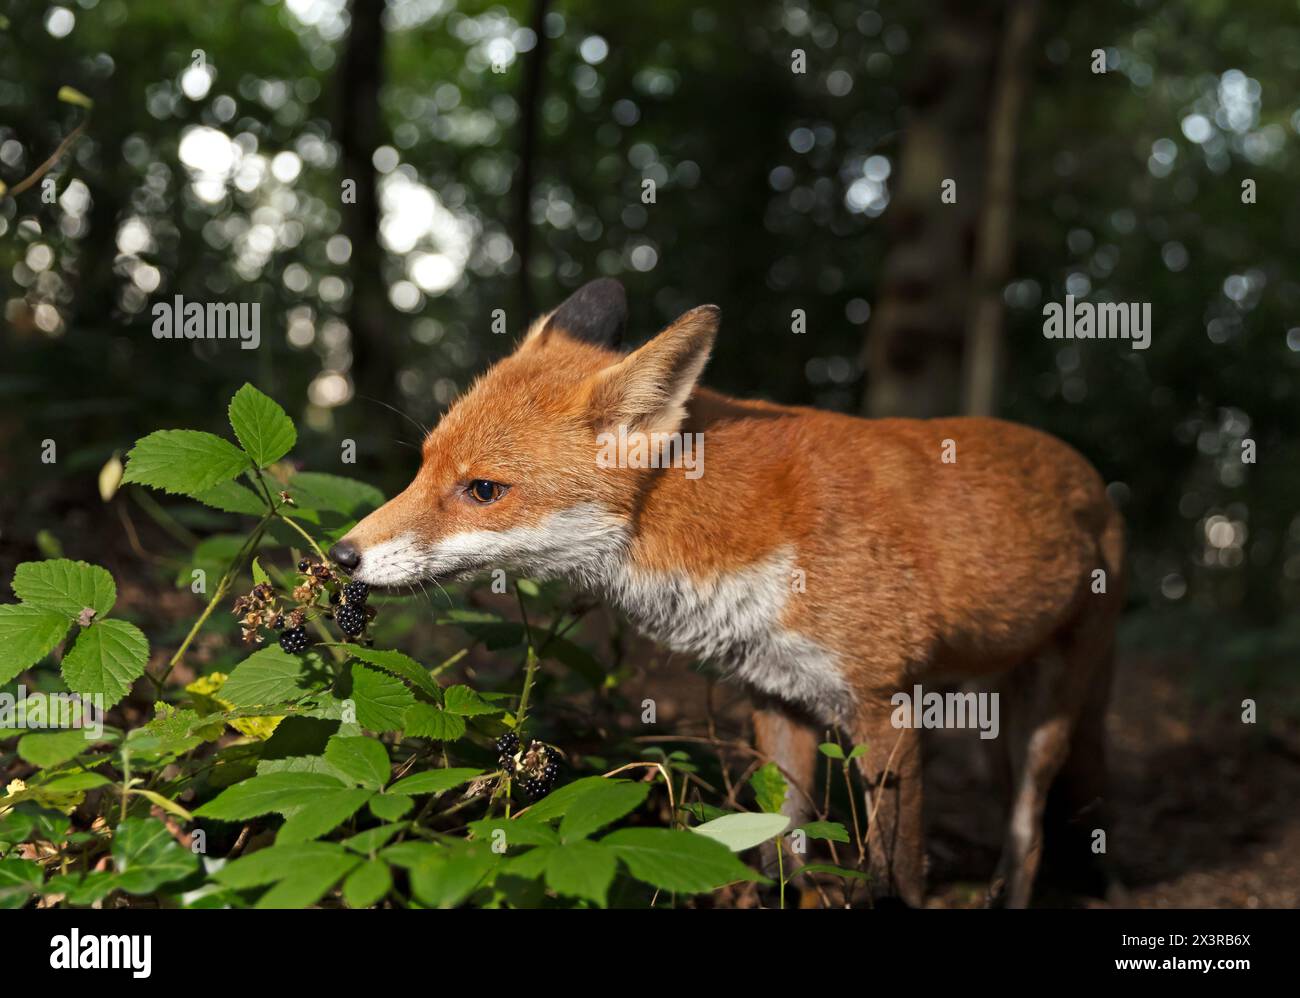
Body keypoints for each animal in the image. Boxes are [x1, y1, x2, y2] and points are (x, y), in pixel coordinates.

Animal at [330, 278, 1124, 908]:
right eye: (423, 466)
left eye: (483, 490)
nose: (341, 555)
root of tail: (1095, 478)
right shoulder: (778, 697)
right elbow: (780, 849)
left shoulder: (887, 706)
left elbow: (894, 874)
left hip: (1044, 722)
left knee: (1028, 836)